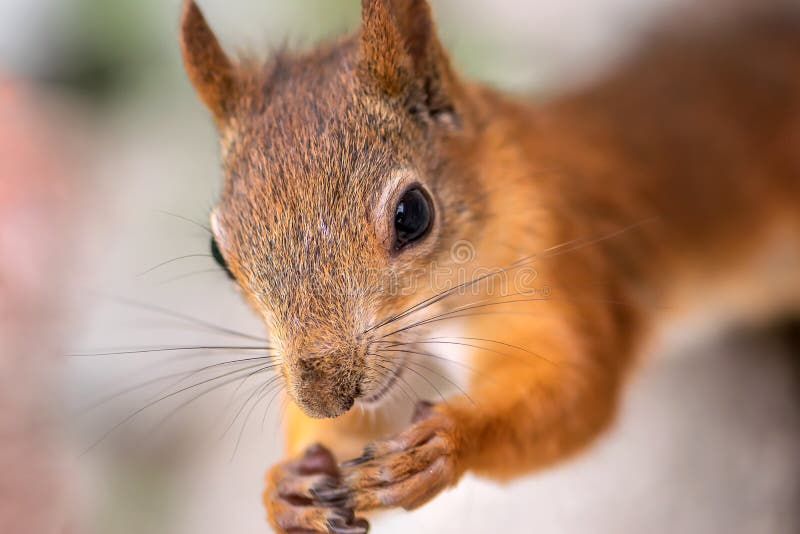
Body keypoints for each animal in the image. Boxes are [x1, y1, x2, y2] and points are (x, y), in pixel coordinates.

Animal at [178, 0, 800, 532]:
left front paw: (445, 443)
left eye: (412, 213)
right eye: (218, 254)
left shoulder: (570, 263)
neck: (441, 315)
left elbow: (581, 387)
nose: (325, 399)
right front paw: (285, 490)